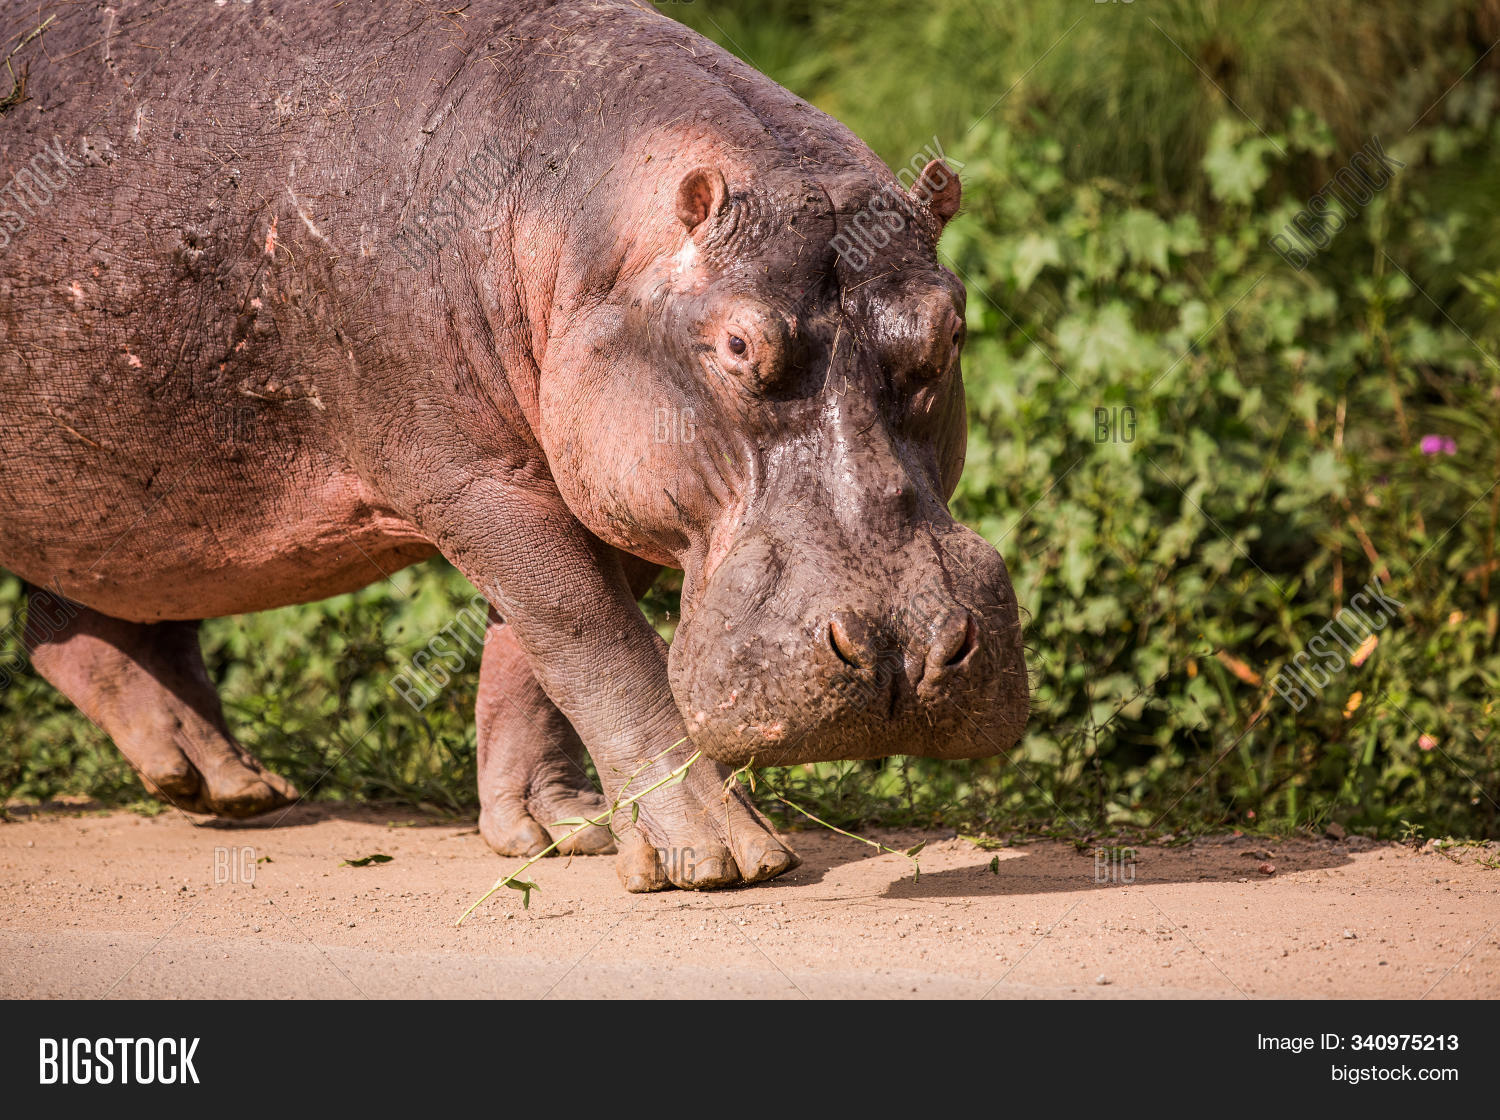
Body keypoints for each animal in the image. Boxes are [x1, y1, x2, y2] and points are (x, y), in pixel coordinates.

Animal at [0, 0, 1027, 891]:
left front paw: (558, 829)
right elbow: (593, 636)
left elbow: (535, 657)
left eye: (950, 328)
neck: (589, 223)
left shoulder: (597, 473)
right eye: (738, 345)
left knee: (83, 624)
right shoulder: (477, 483)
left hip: (119, 506)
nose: (902, 645)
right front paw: (719, 855)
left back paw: (225, 783)